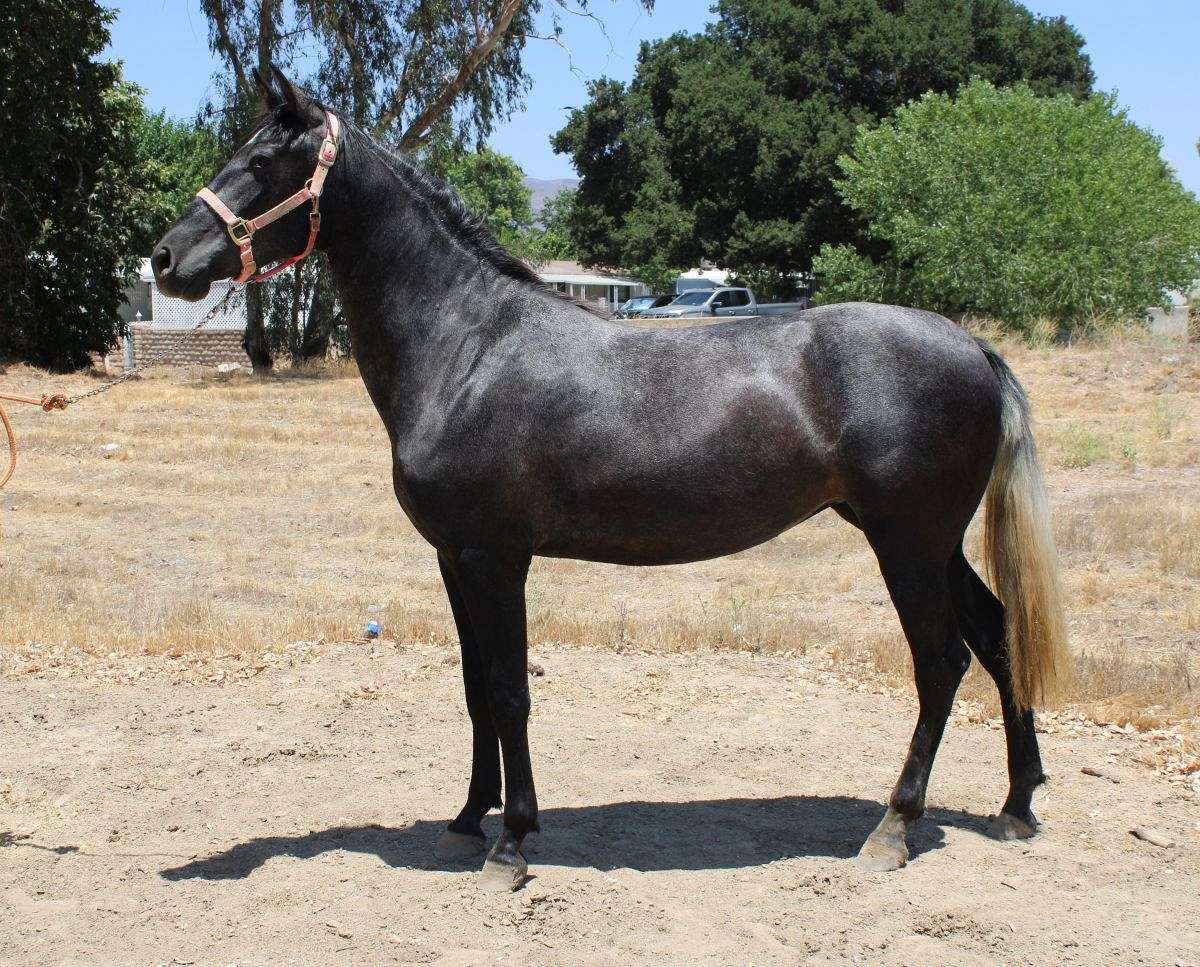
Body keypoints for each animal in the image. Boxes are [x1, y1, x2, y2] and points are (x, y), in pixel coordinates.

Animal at [151, 67, 1069, 892]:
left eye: (261, 161)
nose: (164, 258)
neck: (468, 346)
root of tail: (972, 347)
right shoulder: (453, 557)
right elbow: (473, 687)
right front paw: (466, 818)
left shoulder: (495, 558)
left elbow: (510, 691)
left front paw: (512, 843)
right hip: (930, 542)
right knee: (998, 636)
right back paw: (1017, 804)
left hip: (906, 543)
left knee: (941, 664)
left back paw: (892, 829)